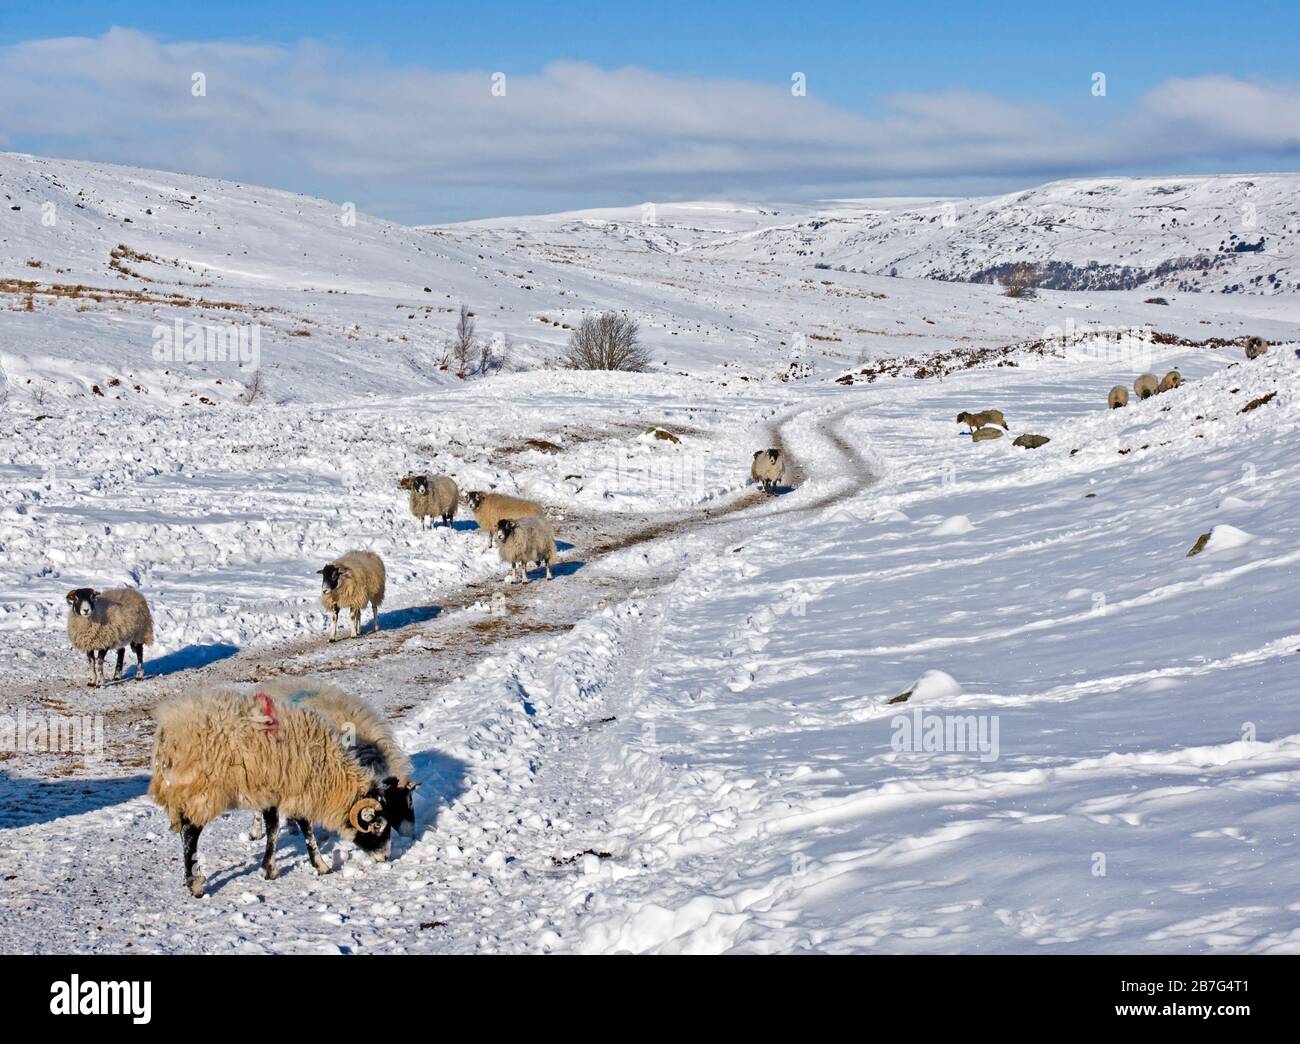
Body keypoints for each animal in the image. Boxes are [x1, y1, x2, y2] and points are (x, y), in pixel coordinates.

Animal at [148, 686, 397, 897]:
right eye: (377, 825)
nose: (385, 857)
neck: (330, 775)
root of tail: (167, 732)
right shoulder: (295, 789)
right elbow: (299, 829)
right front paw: (319, 866)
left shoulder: (273, 792)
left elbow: (275, 829)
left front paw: (269, 868)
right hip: (204, 790)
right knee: (190, 833)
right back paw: (195, 884)